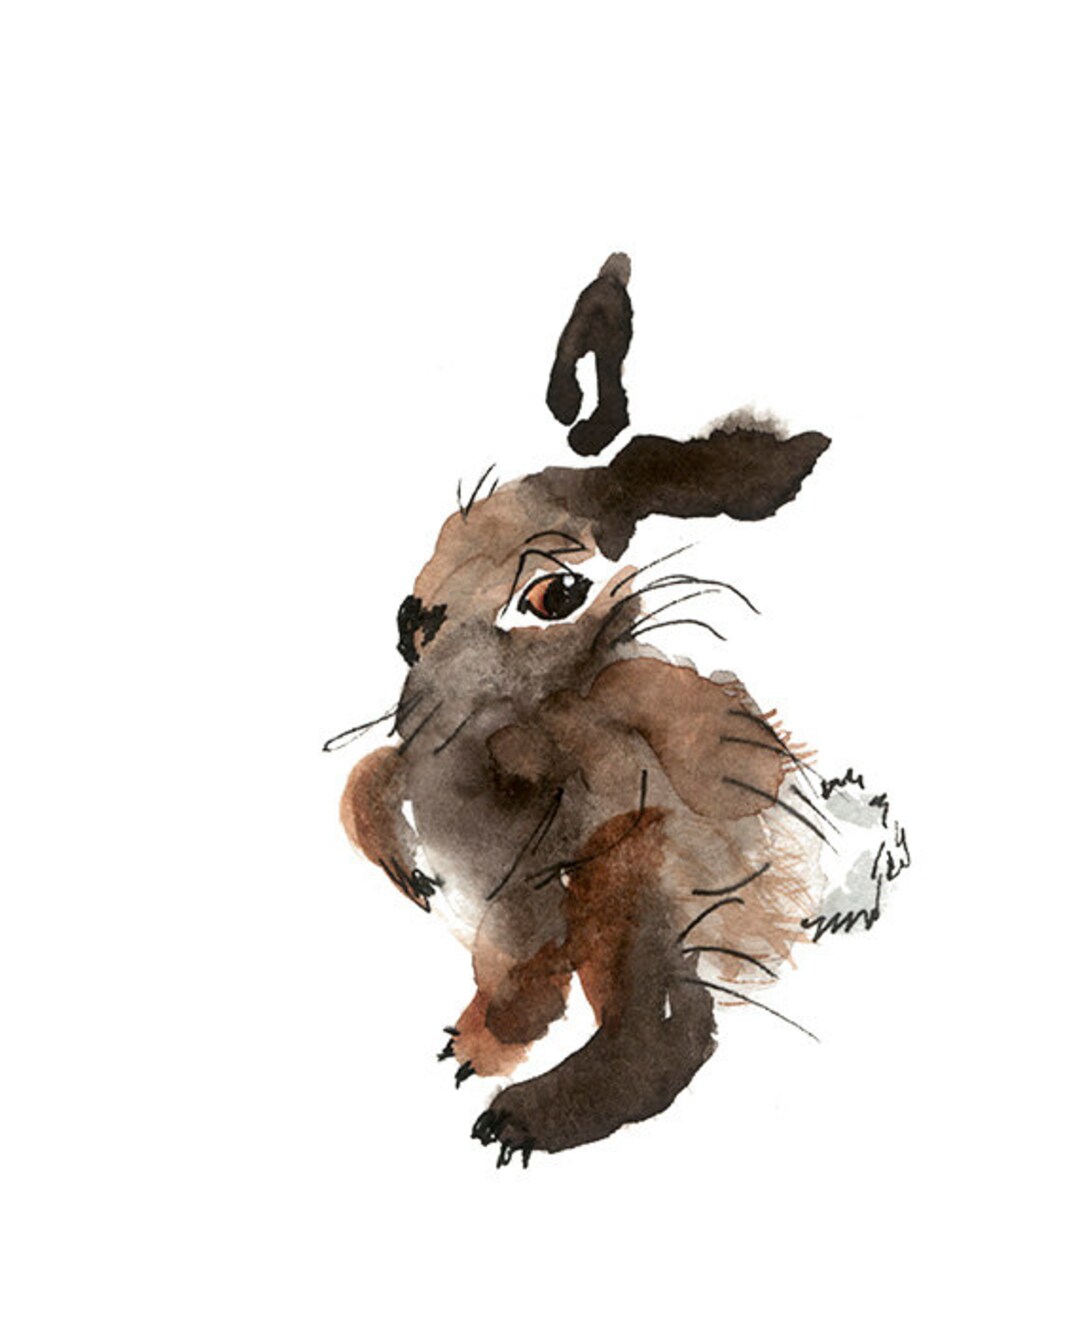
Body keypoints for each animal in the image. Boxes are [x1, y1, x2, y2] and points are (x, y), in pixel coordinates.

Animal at [331, 254, 908, 1167]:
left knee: (667, 1029)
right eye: (420, 599)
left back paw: (519, 1115)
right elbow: (365, 778)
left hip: (633, 900)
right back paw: (475, 1047)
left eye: (555, 591)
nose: (407, 623)